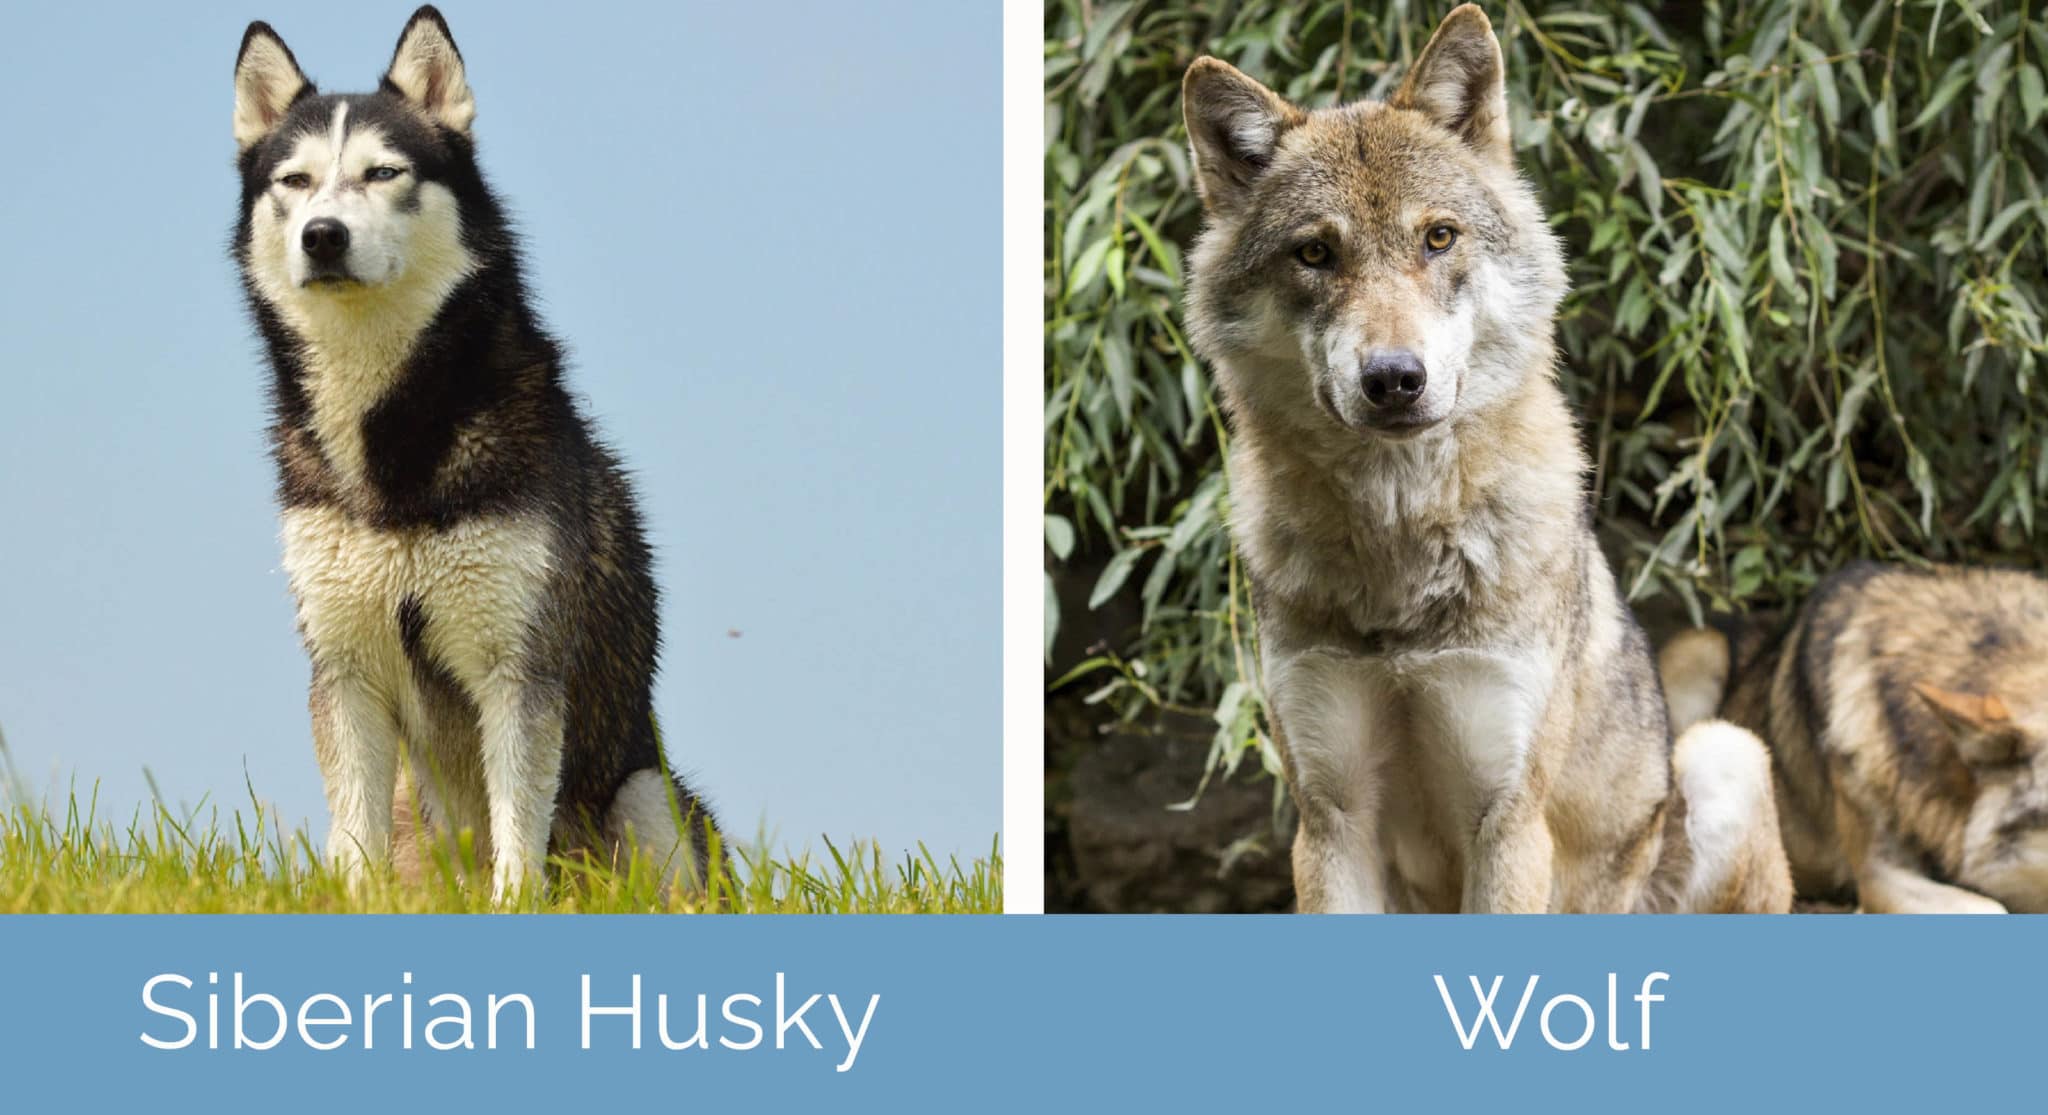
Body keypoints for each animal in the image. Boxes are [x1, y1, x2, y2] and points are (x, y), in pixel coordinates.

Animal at [231, 6, 717, 899]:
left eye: (383, 172)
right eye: (295, 181)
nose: (323, 236)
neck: (393, 438)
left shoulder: (518, 668)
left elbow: (516, 831)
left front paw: (515, 903)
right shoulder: (345, 668)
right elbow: (353, 837)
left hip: (646, 795)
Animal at [1180, 4, 1789, 913]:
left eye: (1439, 237)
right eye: (1315, 254)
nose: (1394, 379)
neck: (1401, 556)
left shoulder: (1506, 821)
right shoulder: (1331, 824)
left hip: (1724, 753)